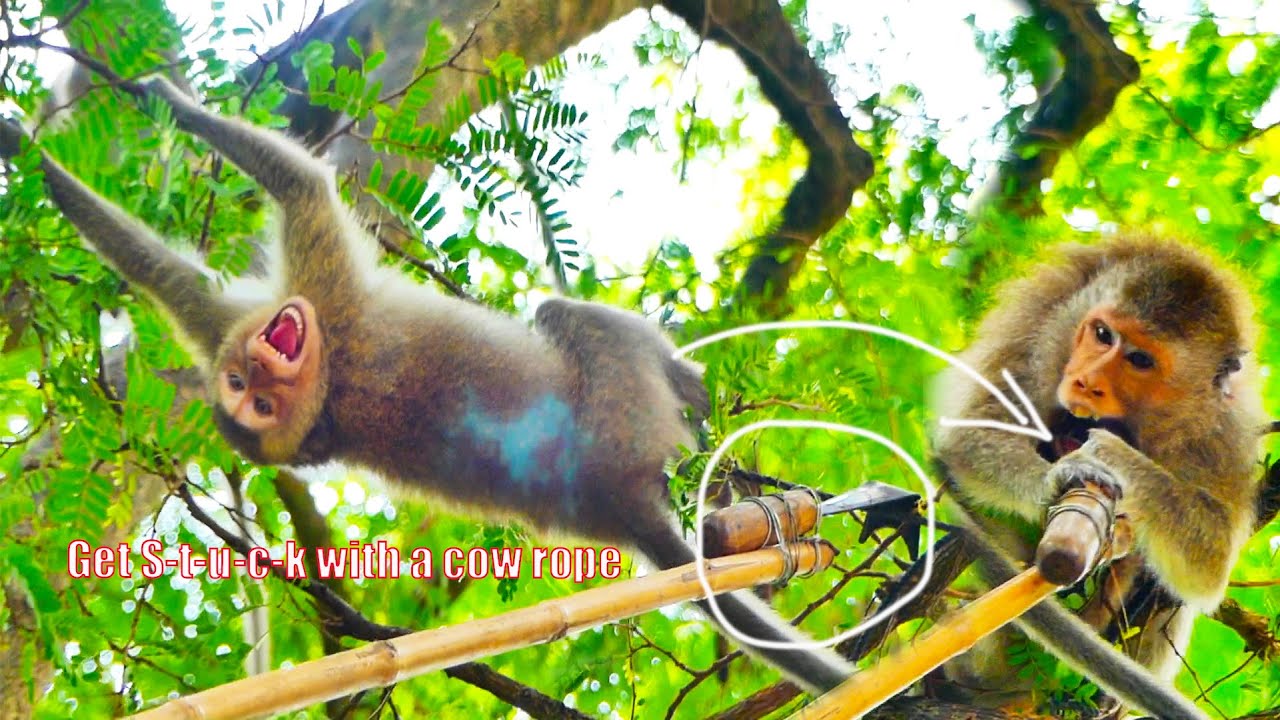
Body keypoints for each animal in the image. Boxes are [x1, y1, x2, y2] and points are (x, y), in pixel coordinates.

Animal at [0, 76, 855, 695]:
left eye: (248, 389)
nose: (258, 379)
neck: (327, 392)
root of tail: (618, 500)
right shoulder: (333, 296)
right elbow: (304, 186)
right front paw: (173, 102)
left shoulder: (245, 323)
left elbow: (163, 277)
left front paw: (41, 149)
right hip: (623, 397)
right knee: (574, 323)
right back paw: (697, 399)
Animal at [932, 237, 1265, 718]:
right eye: (1103, 334)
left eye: (1139, 359)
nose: (1087, 383)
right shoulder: (1037, 322)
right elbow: (966, 438)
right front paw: (1063, 473)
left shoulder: (1227, 430)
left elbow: (1210, 562)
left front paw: (1107, 448)